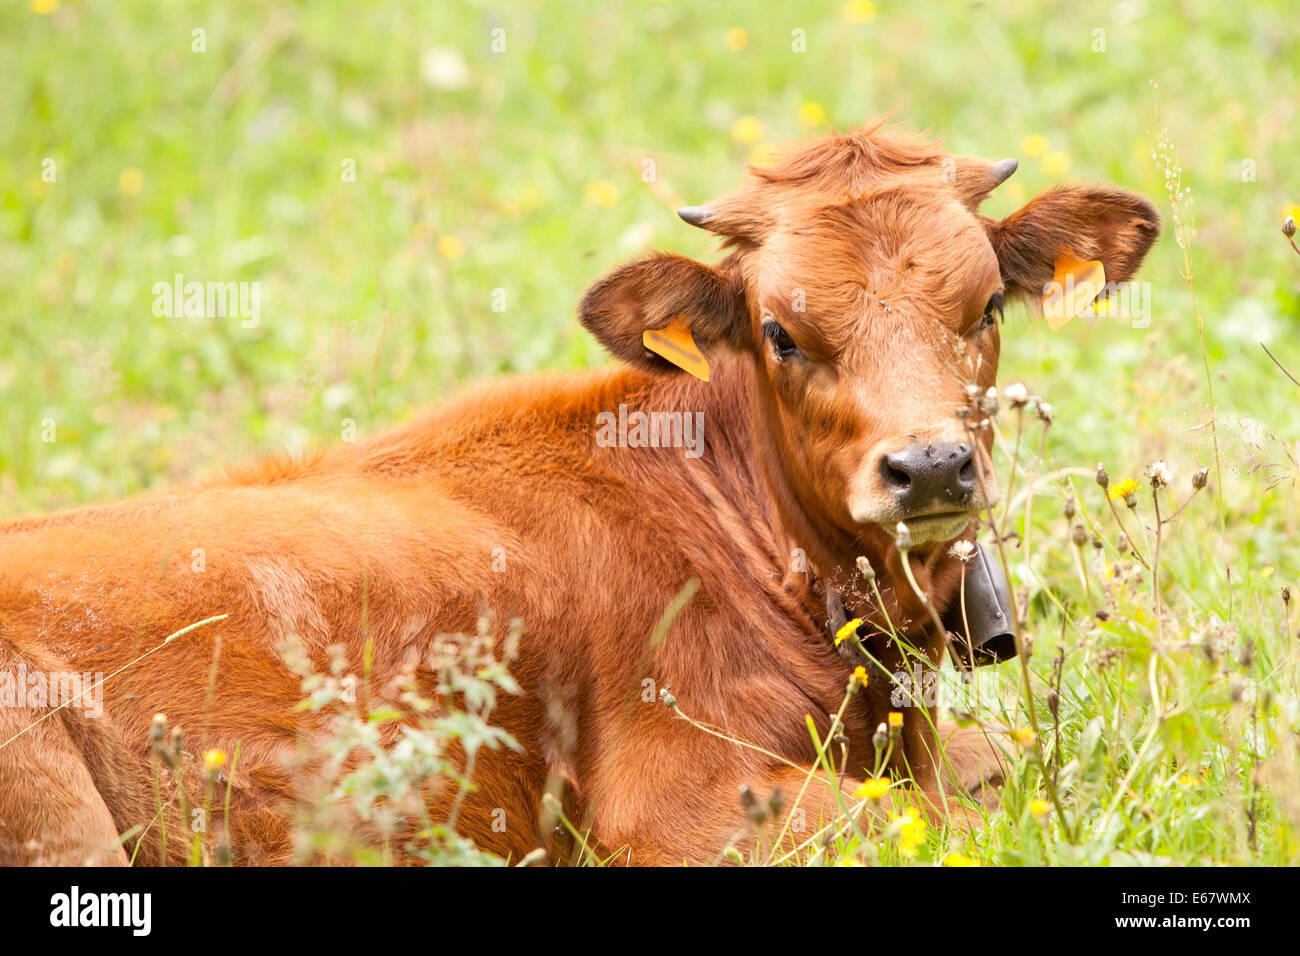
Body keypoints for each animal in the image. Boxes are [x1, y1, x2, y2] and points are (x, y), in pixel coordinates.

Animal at [0, 121, 1159, 866]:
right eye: (781, 332)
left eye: (985, 306)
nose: (929, 466)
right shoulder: (680, 806)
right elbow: (973, 825)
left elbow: (1005, 773)